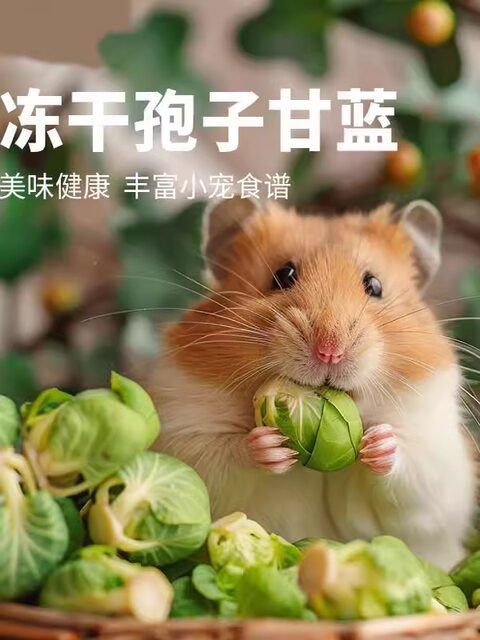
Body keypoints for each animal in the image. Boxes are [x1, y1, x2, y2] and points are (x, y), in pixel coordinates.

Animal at [148, 197, 476, 570]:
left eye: (375, 285)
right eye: (282, 276)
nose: (329, 350)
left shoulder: (435, 450)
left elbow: (410, 471)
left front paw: (379, 443)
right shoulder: (187, 432)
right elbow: (222, 457)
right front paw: (267, 445)